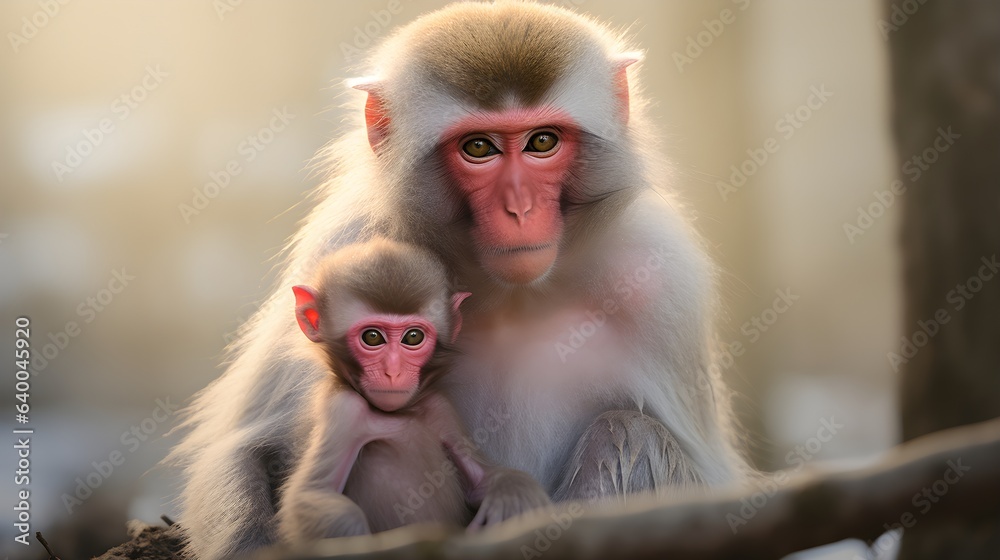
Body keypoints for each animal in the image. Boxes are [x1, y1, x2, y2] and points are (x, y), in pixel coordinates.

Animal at [276, 239, 551, 541]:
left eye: (413, 337)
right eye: (372, 337)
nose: (393, 372)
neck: (397, 415)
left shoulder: (439, 407)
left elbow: (485, 478)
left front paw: (511, 500)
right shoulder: (342, 409)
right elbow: (313, 494)